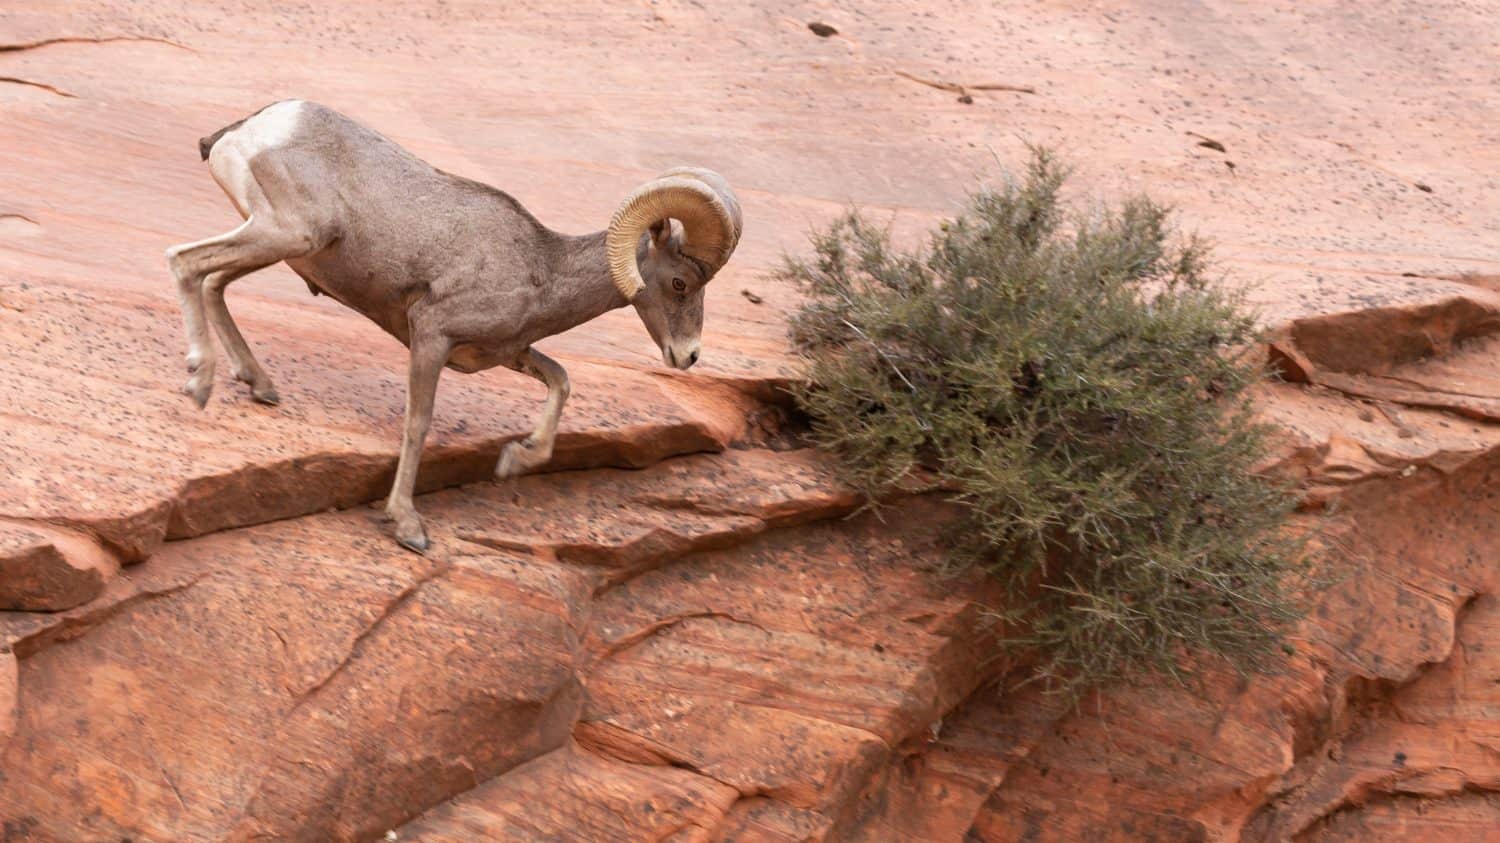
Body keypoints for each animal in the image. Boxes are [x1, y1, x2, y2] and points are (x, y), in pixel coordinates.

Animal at [166, 100, 742, 552]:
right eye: (680, 283)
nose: (689, 356)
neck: (540, 269)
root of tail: (259, 127)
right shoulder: (431, 334)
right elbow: (419, 424)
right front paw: (408, 527)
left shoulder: (507, 353)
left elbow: (561, 380)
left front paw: (514, 461)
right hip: (290, 234)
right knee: (187, 263)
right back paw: (200, 383)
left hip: (279, 242)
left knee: (214, 282)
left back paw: (258, 384)